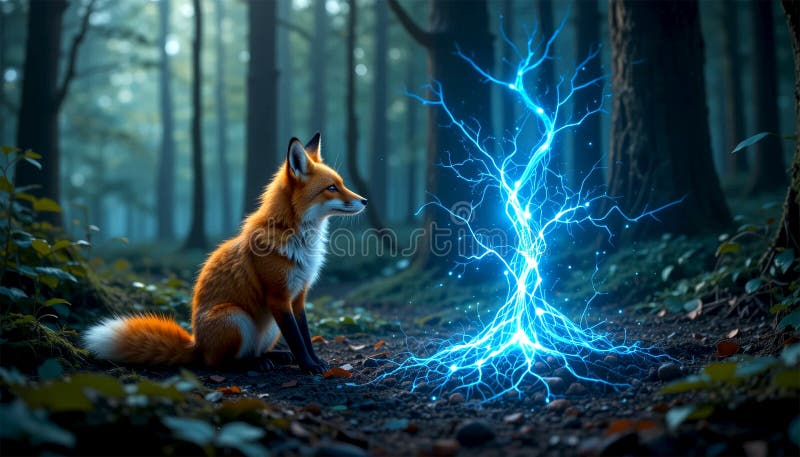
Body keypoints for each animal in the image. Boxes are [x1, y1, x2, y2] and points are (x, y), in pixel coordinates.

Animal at [84, 133, 367, 373]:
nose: (364, 200)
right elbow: (297, 339)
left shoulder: (298, 297)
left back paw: (271, 357)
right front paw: (308, 366)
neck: (300, 241)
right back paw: (252, 364)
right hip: (235, 318)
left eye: (342, 184)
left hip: (268, 327)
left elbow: (305, 336)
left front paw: (316, 361)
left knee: (252, 352)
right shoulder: (278, 296)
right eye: (332, 188)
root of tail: (196, 344)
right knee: (219, 362)